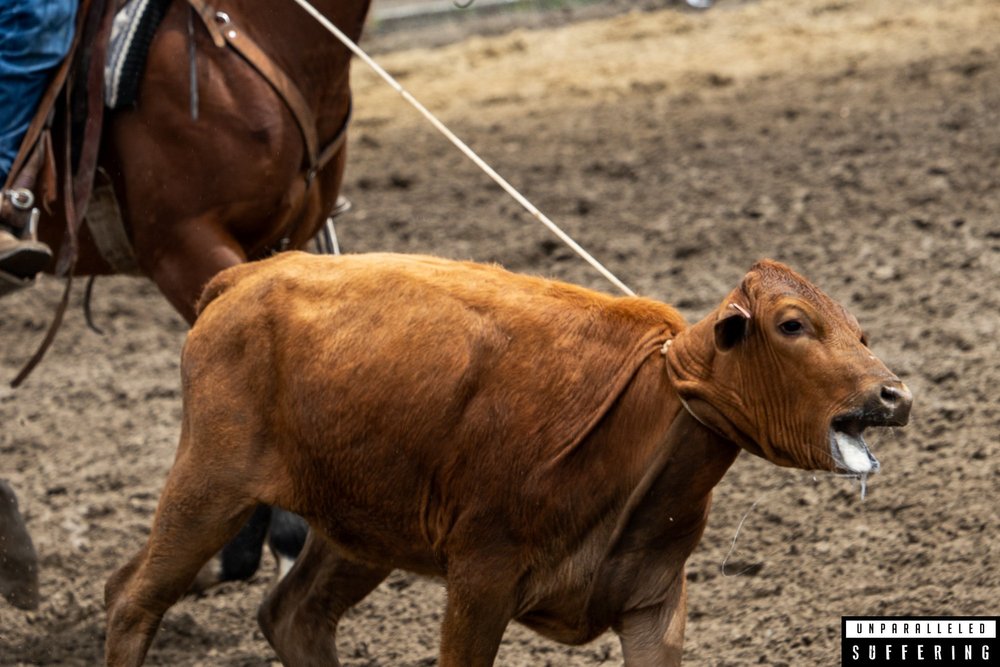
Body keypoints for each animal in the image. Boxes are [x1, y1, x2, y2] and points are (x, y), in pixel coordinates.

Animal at [103, 252, 911, 666]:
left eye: (860, 329)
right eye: (793, 324)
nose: (895, 393)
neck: (643, 420)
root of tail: (245, 276)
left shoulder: (653, 601)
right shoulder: (480, 582)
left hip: (358, 528)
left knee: (294, 617)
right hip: (210, 485)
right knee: (131, 600)